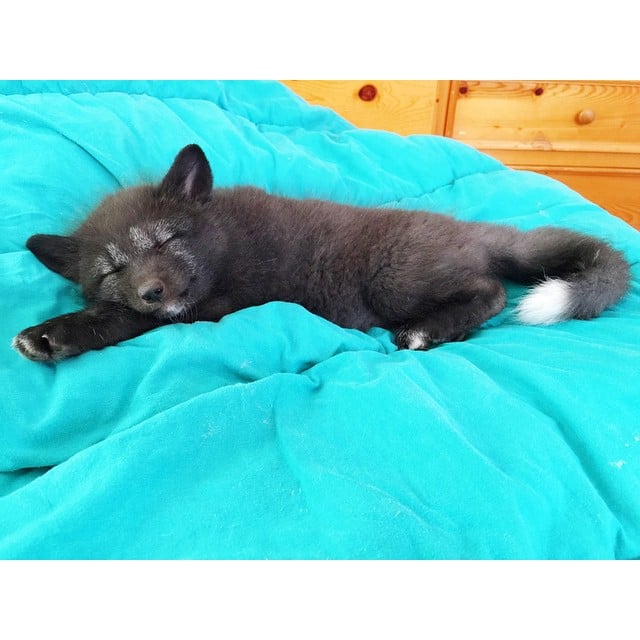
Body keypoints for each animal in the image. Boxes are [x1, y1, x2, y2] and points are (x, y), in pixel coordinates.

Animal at [13, 143, 630, 362]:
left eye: (167, 239)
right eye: (113, 269)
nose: (151, 291)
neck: (224, 239)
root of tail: (471, 229)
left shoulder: (214, 306)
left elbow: (123, 321)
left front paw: (55, 333)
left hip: (394, 282)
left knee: (493, 292)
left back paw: (426, 331)